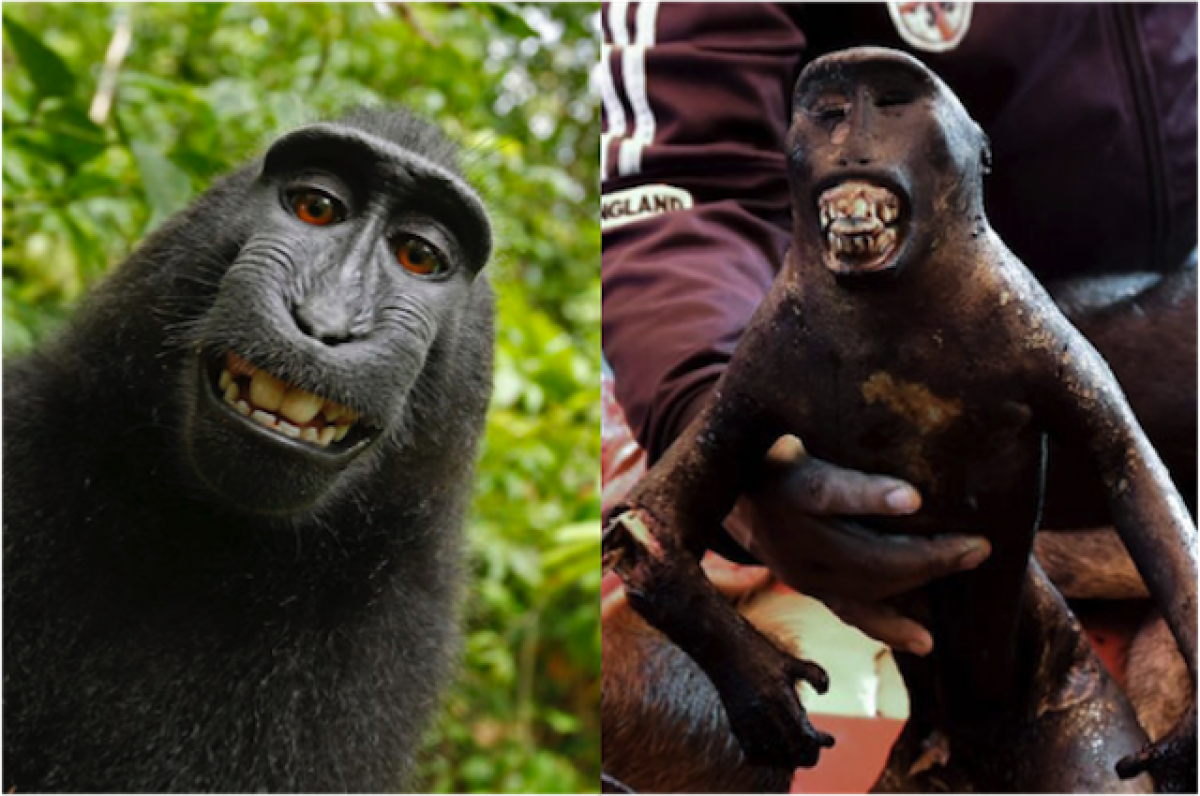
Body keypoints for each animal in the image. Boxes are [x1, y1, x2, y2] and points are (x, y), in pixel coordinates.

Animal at [602, 48, 1198, 796]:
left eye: (890, 102)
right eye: (828, 112)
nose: (849, 126)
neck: (891, 309)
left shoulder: (1037, 335)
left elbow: (1129, 468)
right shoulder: (763, 360)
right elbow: (651, 528)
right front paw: (763, 691)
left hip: (1077, 711)